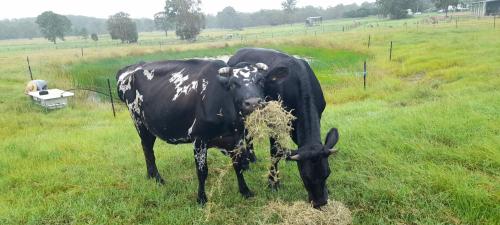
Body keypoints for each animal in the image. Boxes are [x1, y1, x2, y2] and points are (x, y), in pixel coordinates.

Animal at [116, 59, 270, 205]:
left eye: (260, 80)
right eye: (233, 84)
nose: (253, 102)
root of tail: (129, 69)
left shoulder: (235, 139)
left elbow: (238, 165)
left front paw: (245, 191)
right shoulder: (199, 139)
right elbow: (202, 172)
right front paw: (201, 198)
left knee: (146, 149)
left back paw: (151, 176)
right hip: (139, 122)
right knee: (148, 150)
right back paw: (158, 179)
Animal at [228, 48, 340, 208]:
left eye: (327, 173)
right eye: (305, 176)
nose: (320, 202)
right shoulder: (274, 121)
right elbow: (275, 151)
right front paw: (273, 182)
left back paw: (253, 158)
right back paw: (247, 162)